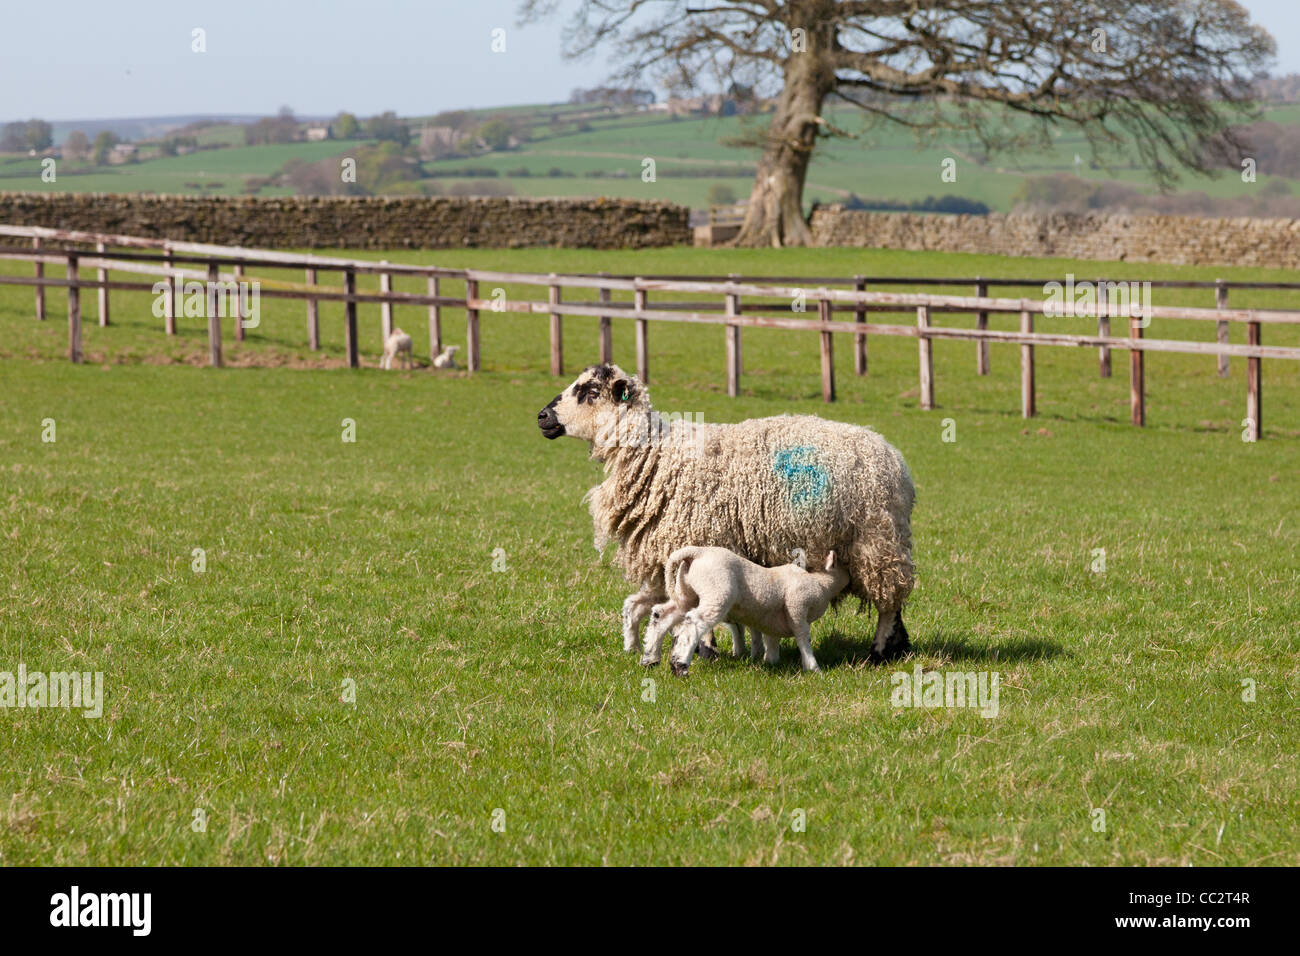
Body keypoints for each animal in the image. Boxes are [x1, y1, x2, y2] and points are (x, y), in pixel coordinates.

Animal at [536, 363, 916, 662]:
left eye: (590, 391)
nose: (542, 416)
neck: (655, 455)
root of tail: (894, 456)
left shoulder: (701, 538)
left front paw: (706, 649)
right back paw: (897, 647)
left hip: (877, 541)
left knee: (889, 602)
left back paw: (879, 651)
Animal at [642, 547, 850, 675]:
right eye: (844, 565)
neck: (821, 583)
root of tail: (696, 552)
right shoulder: (797, 606)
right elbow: (803, 637)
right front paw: (813, 668)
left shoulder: (772, 619)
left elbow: (771, 640)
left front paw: (770, 661)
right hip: (716, 593)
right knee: (694, 622)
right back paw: (680, 666)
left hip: (687, 593)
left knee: (662, 614)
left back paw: (650, 658)